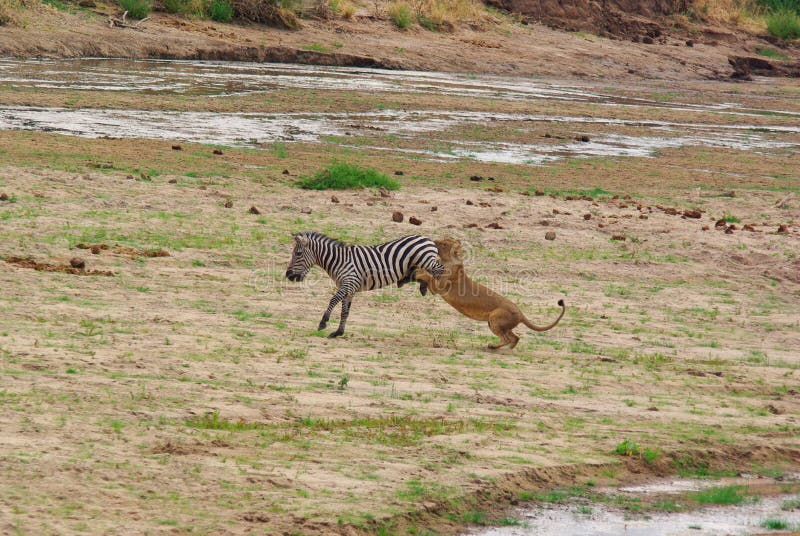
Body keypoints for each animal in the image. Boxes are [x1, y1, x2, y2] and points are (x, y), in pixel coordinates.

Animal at [285, 232, 444, 338]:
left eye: (298, 254)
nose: (288, 275)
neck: (338, 260)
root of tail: (426, 238)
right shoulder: (349, 289)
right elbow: (344, 311)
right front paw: (338, 332)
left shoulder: (349, 283)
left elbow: (333, 300)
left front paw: (323, 322)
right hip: (413, 266)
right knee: (418, 274)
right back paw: (422, 287)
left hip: (426, 261)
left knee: (440, 270)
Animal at [415, 238, 565, 350]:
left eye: (444, 244)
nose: (433, 240)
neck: (446, 261)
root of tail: (521, 313)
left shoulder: (439, 288)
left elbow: (428, 276)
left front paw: (418, 271)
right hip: (497, 323)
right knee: (515, 337)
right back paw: (506, 349)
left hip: (494, 318)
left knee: (506, 338)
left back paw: (493, 346)